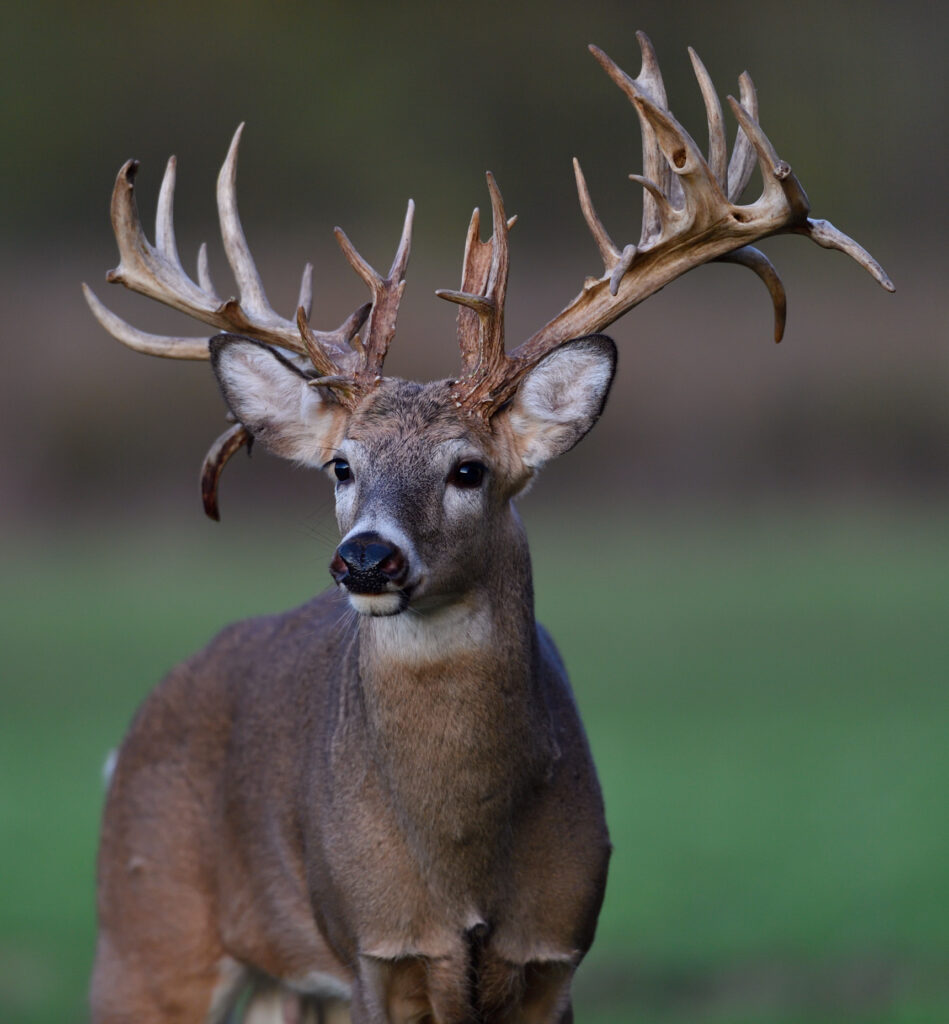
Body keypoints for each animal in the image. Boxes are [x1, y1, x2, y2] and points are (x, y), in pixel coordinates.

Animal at [82, 32, 892, 1024]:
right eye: (341, 466)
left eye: (467, 469)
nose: (366, 558)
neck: (460, 871)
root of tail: (133, 734)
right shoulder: (376, 951)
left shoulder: (554, 953)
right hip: (144, 932)